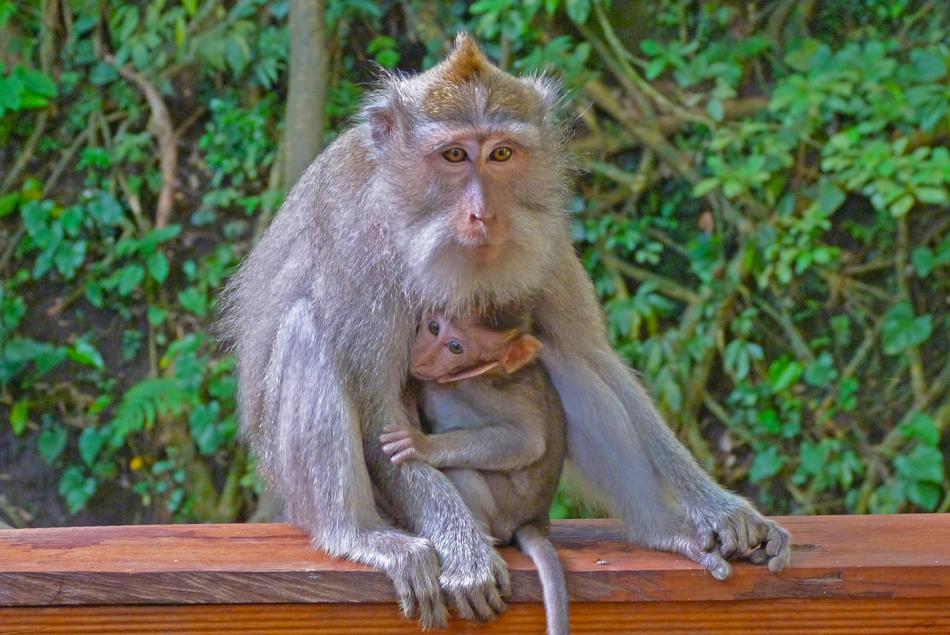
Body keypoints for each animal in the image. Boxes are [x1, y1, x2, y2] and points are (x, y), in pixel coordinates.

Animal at [380, 312, 569, 635]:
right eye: (434, 327)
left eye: (456, 347)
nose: (422, 357)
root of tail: (534, 518)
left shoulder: (482, 392)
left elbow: (525, 441)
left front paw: (422, 444)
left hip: (505, 507)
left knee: (461, 469)